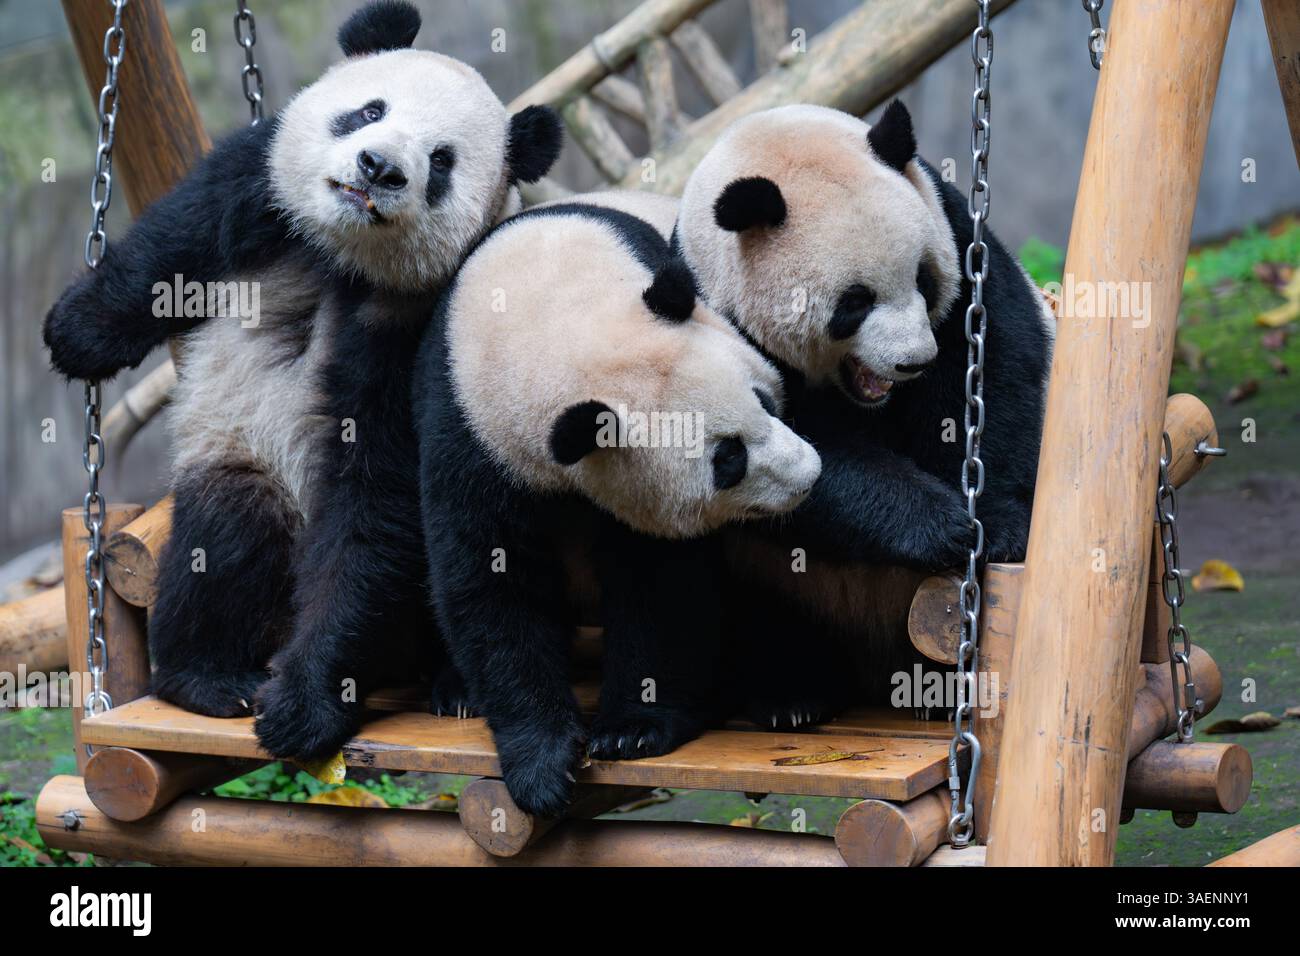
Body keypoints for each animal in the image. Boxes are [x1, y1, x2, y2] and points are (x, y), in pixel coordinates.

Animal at [42, 0, 563, 761]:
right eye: (368, 111)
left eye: (441, 161)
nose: (379, 167)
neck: (344, 256)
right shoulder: (258, 179)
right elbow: (173, 246)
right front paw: (77, 334)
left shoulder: (426, 321)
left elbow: (376, 500)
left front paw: (303, 706)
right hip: (241, 458)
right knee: (229, 531)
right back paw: (208, 678)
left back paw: (454, 687)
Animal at [414, 196, 821, 816]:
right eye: (727, 459)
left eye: (765, 401)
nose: (808, 476)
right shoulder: (468, 428)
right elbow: (490, 580)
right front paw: (542, 764)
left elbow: (660, 586)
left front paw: (631, 729)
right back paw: (456, 691)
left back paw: (783, 694)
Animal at [674, 102, 1054, 725]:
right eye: (853, 304)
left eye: (923, 279)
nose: (912, 361)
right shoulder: (716, 314)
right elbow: (793, 462)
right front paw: (943, 525)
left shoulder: (957, 234)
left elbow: (991, 365)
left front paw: (994, 526)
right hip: (770, 580)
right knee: (757, 606)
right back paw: (790, 694)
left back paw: (931, 685)